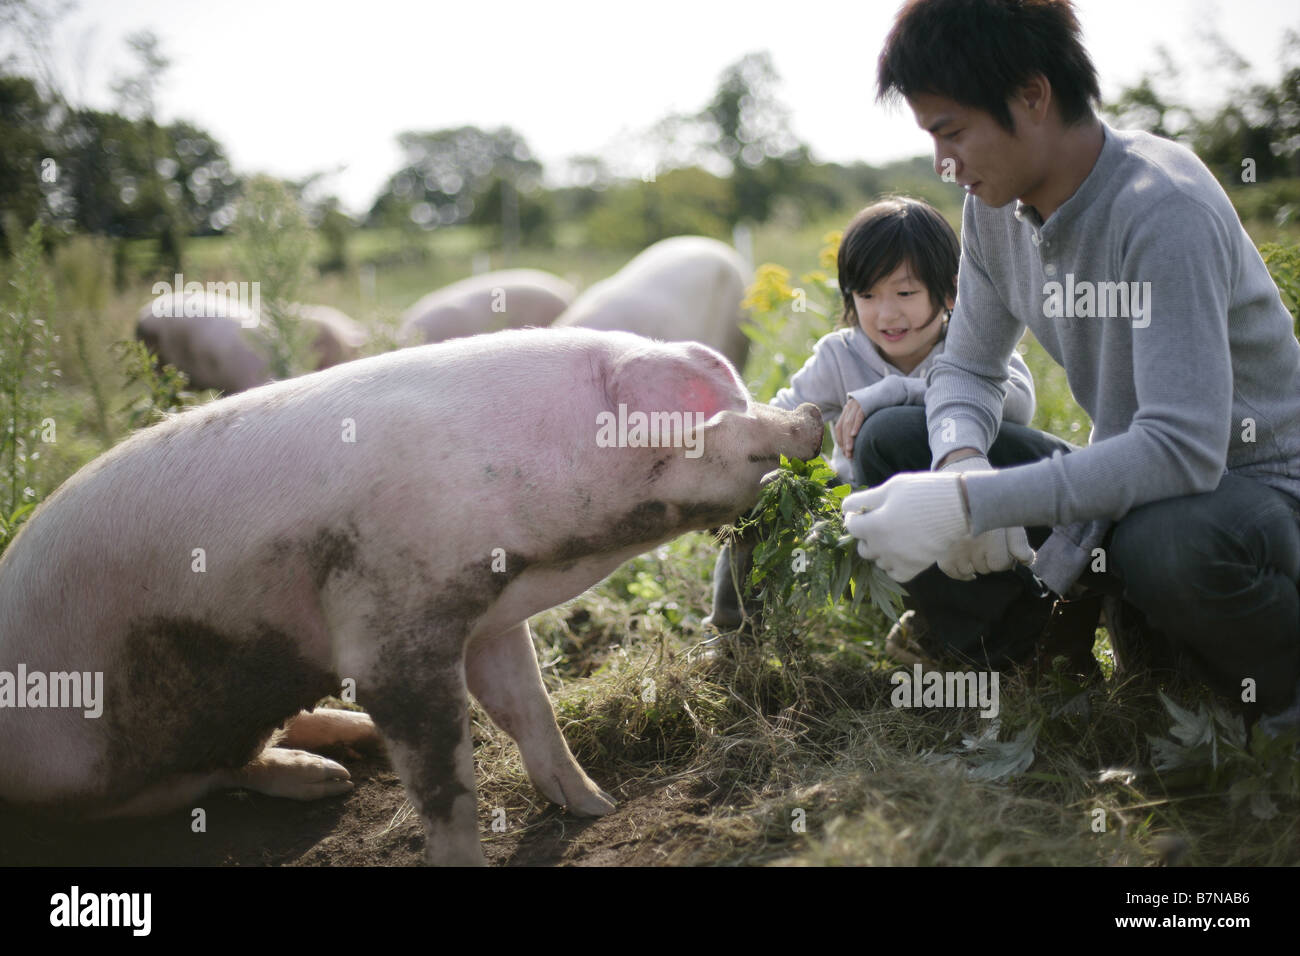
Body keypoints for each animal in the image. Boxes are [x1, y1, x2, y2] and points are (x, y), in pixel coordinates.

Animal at [0, 327, 822, 865]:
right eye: (729, 413)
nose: (810, 415)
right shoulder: (386, 618)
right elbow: (444, 778)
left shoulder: (490, 611)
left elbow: (529, 709)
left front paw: (596, 806)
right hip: (83, 771)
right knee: (214, 770)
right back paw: (326, 778)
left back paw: (346, 754)